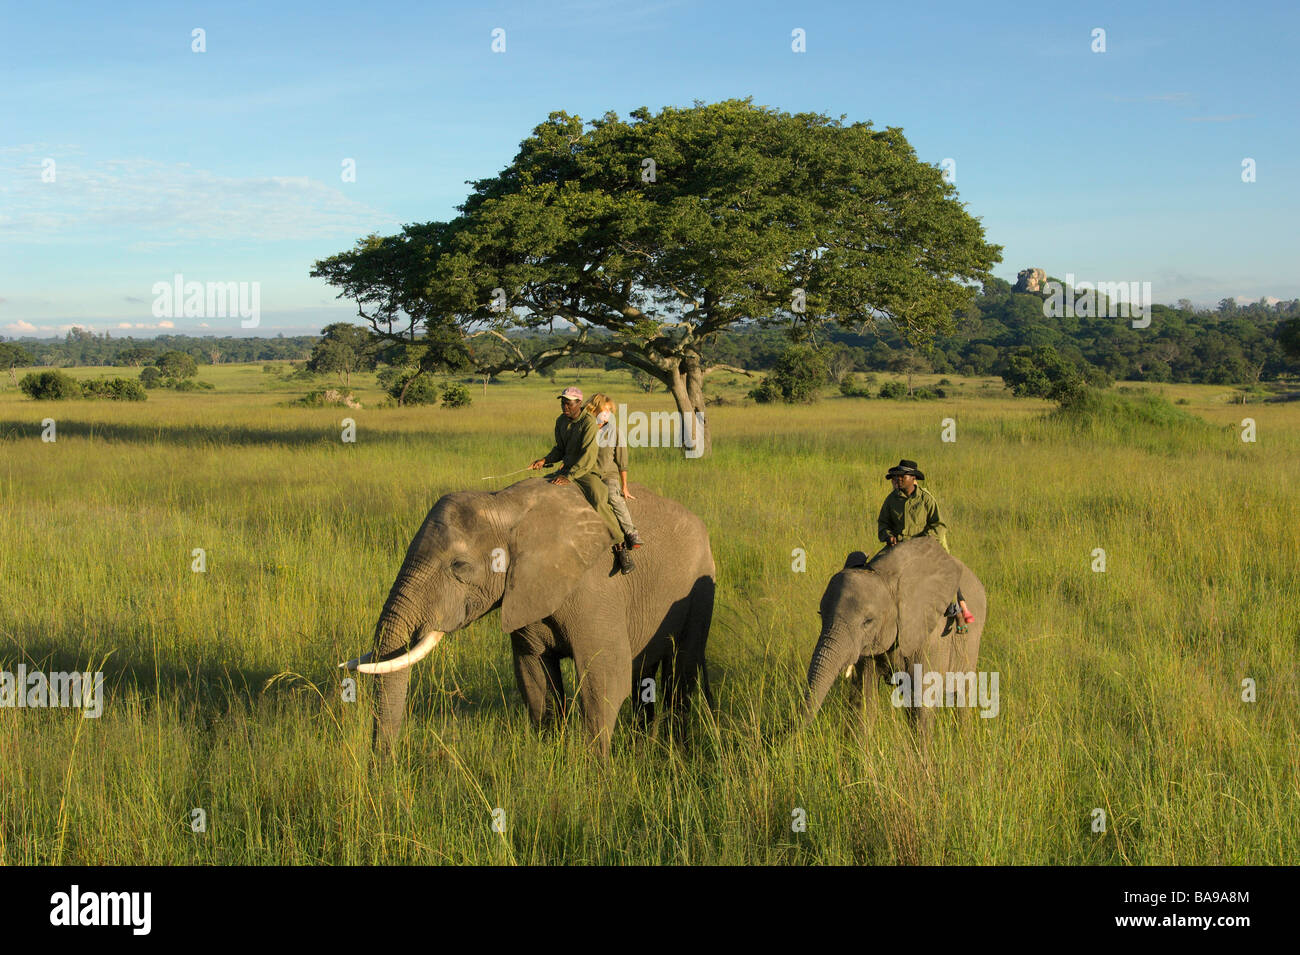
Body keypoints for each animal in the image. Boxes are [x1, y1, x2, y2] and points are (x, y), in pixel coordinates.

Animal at [340, 477, 715, 754]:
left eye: (459, 567)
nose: (382, 769)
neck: (505, 506)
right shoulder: (523, 594)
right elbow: (535, 679)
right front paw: (552, 761)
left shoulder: (595, 588)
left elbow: (604, 678)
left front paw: (597, 777)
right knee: (644, 676)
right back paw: (645, 749)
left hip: (700, 588)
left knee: (681, 674)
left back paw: (676, 753)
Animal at [803, 536, 987, 732]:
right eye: (821, 615)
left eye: (868, 621)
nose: (793, 730)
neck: (885, 576)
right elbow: (864, 700)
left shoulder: (931, 637)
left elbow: (921, 705)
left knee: (962, 694)